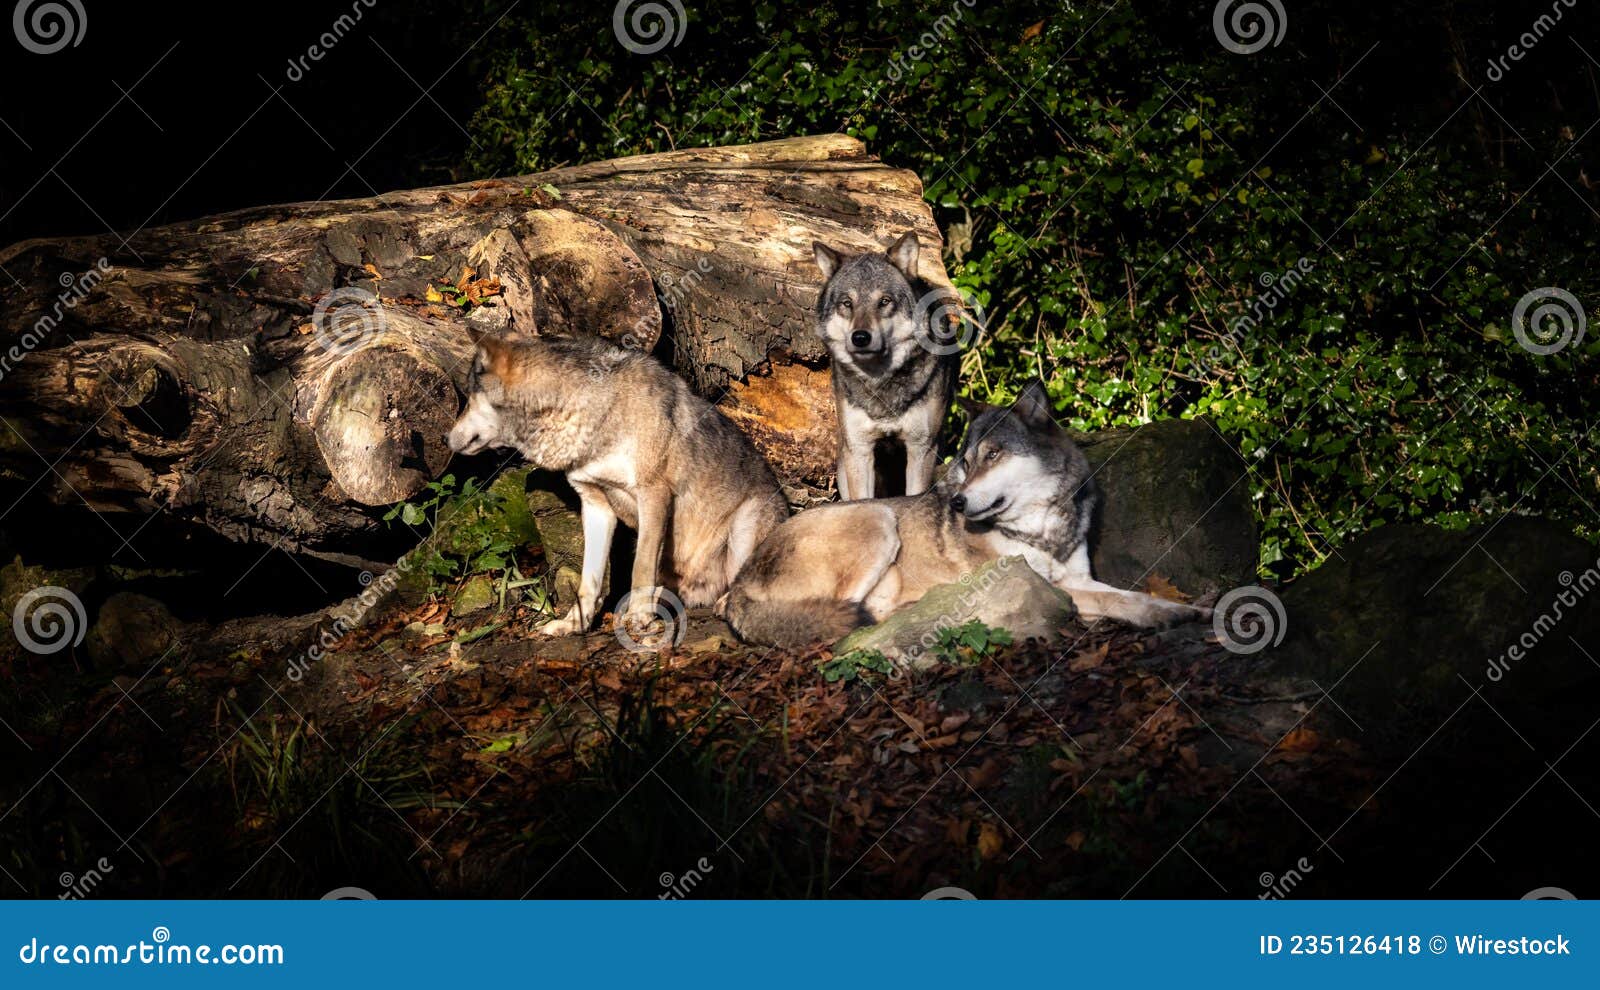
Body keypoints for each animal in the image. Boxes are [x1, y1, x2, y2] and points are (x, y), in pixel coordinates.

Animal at [446, 330, 789, 636]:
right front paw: (576, 624)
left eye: (469, 397)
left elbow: (641, 567)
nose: (445, 439)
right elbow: (590, 579)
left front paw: (639, 617)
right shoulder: (595, 505)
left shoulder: (653, 494)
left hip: (742, 530)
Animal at [720, 382, 1208, 647]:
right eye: (967, 462)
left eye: (993, 455)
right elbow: (1115, 600)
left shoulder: (1078, 577)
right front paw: (1163, 616)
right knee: (845, 616)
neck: (1041, 530)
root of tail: (739, 582)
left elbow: (1124, 593)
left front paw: (1183, 607)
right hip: (879, 521)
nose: (955, 502)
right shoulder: (1043, 584)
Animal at [812, 231, 959, 500]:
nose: (860, 337)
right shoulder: (859, 449)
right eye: (847, 303)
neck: (880, 382)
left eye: (884, 301)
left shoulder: (920, 449)